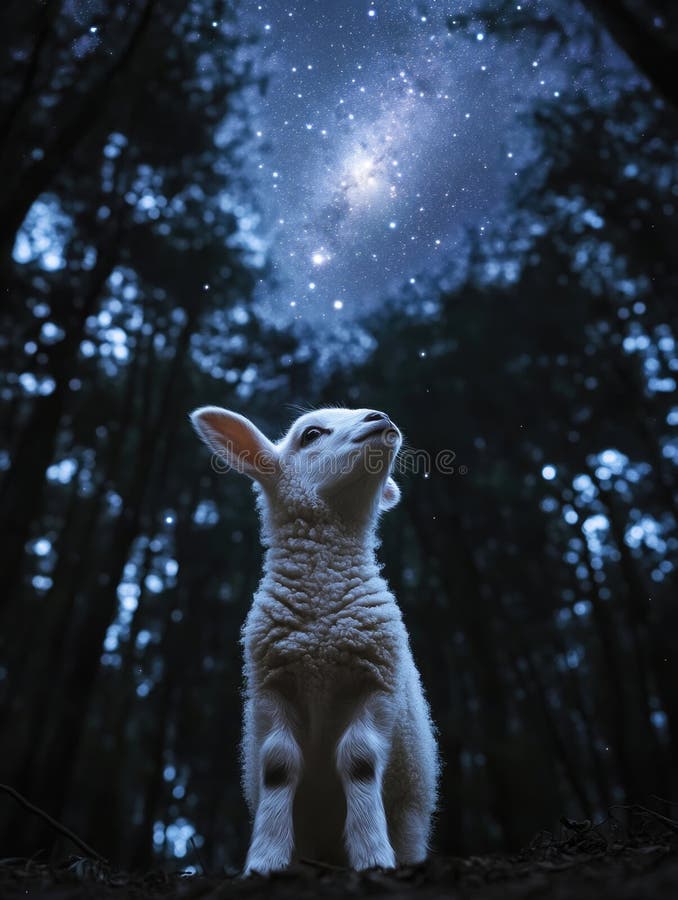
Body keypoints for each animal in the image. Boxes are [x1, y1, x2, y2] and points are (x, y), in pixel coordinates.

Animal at [190, 405, 439, 875]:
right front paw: (265, 860)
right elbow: (278, 766)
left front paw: (373, 855)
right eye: (310, 435)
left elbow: (359, 761)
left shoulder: (375, 679)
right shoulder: (273, 683)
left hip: (411, 817)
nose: (380, 417)